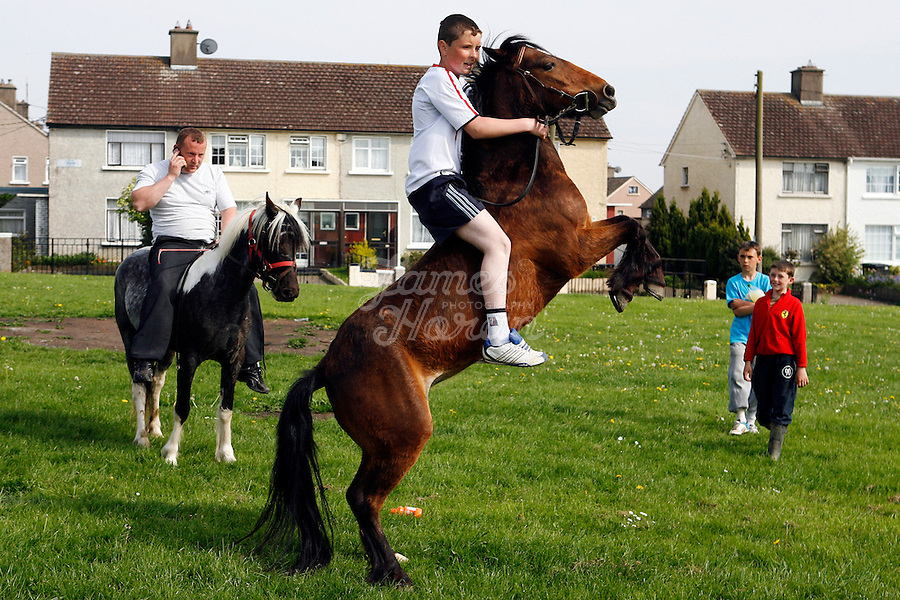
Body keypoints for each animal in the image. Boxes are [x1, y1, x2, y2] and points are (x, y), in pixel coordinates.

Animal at [114, 195, 309, 465]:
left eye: (296, 241)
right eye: (271, 239)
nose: (289, 290)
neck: (219, 291)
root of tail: (128, 260)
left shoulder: (232, 360)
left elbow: (226, 408)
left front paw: (226, 453)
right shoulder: (189, 359)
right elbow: (182, 406)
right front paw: (171, 453)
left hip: (166, 352)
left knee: (156, 383)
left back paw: (155, 429)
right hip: (129, 338)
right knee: (140, 385)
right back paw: (142, 437)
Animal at [247, 38, 665, 585]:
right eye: (546, 63)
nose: (608, 92)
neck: (521, 182)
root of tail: (326, 365)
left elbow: (635, 227)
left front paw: (639, 278)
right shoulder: (576, 248)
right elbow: (633, 227)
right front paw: (637, 280)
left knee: (365, 501)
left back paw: (384, 564)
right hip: (405, 434)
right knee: (362, 498)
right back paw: (393, 572)